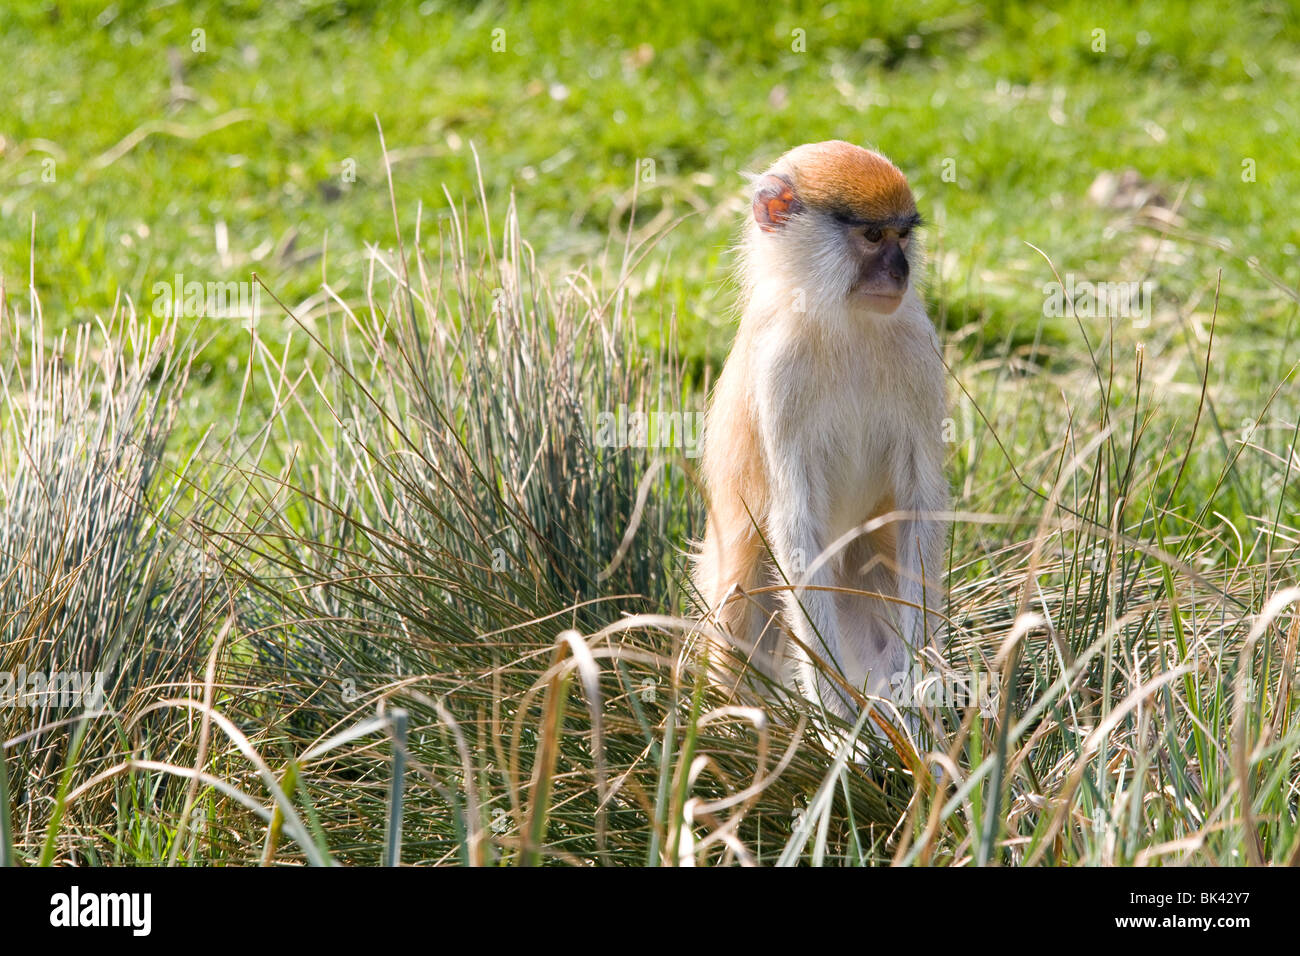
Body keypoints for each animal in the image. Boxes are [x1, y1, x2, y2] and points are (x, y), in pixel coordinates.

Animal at [693, 140, 948, 736]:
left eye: (903, 237)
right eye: (872, 236)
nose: (900, 272)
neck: (844, 321)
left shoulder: (918, 346)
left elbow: (918, 509)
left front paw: (910, 693)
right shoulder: (779, 368)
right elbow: (797, 522)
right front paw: (836, 715)